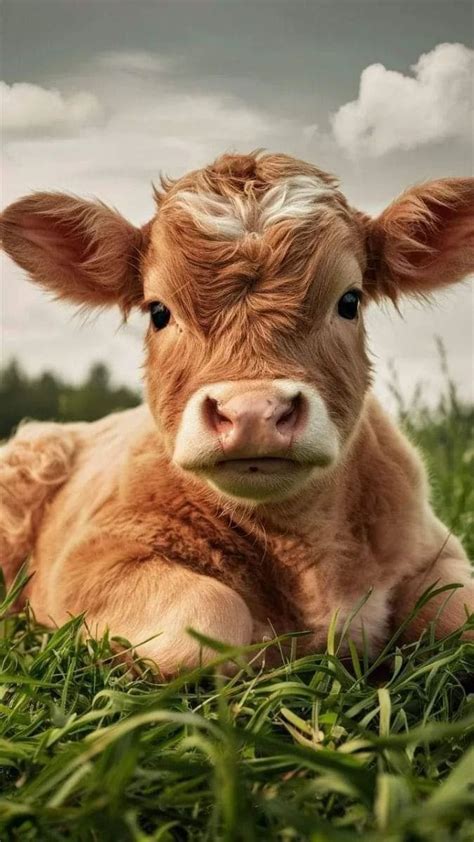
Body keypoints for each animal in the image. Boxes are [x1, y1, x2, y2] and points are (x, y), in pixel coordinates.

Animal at [1, 152, 473, 675]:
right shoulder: (88, 562)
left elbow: (454, 611)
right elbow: (210, 614)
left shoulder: (436, 547)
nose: (253, 413)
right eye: (158, 311)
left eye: (349, 301)